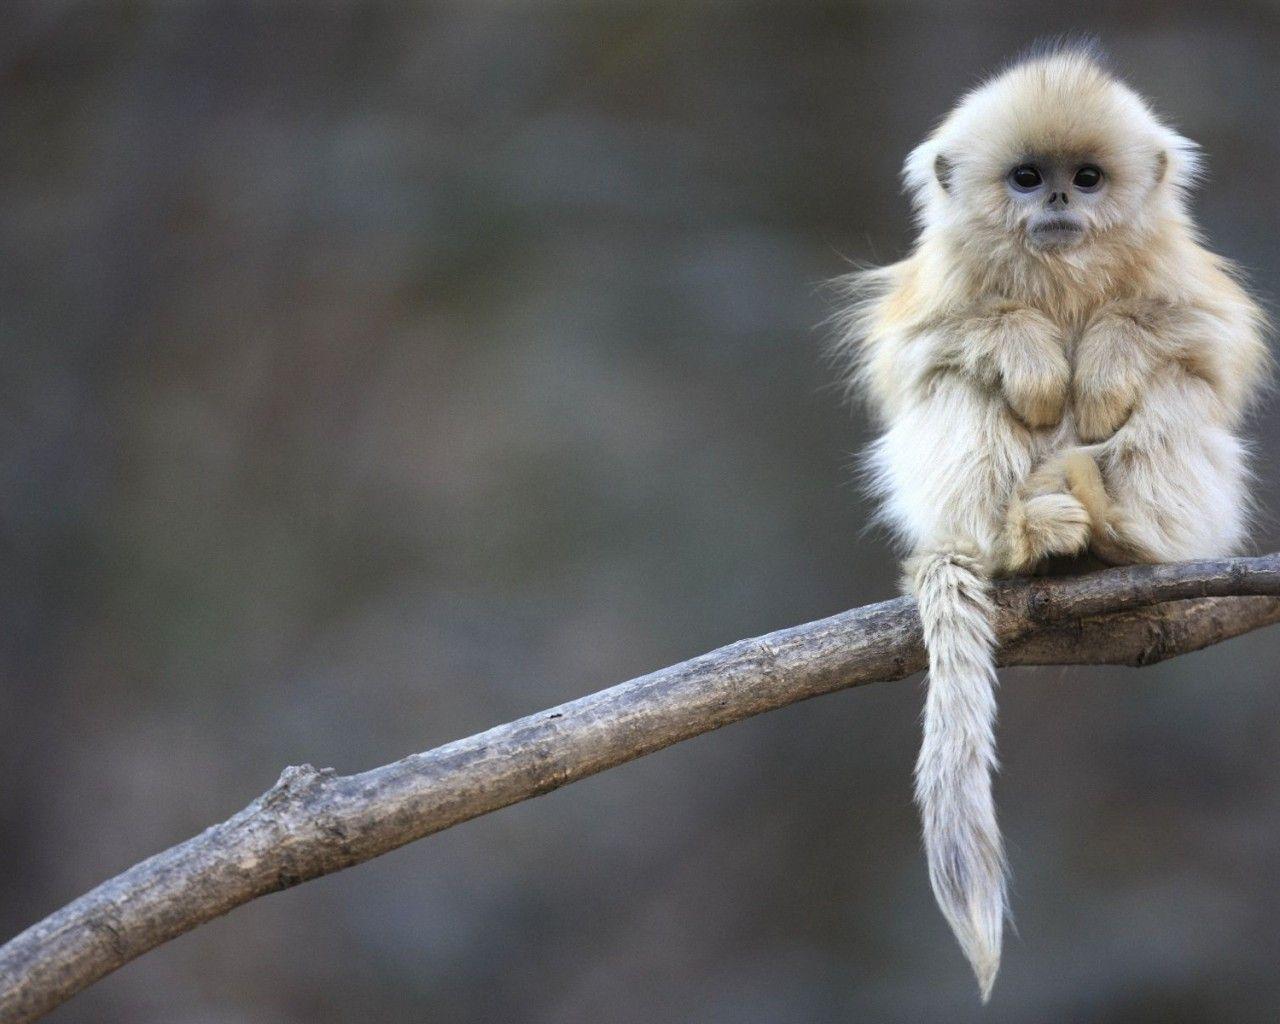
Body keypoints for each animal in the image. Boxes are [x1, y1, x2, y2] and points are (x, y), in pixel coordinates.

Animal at [833, 46, 1268, 1000]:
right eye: (1027, 178)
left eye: (1089, 178)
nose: (1061, 200)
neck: (1062, 276)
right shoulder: (938, 292)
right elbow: (930, 350)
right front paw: (1032, 356)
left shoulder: (1185, 283)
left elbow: (1202, 346)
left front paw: (1102, 364)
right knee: (957, 388)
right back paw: (1023, 538)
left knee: (1174, 391)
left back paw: (1114, 531)